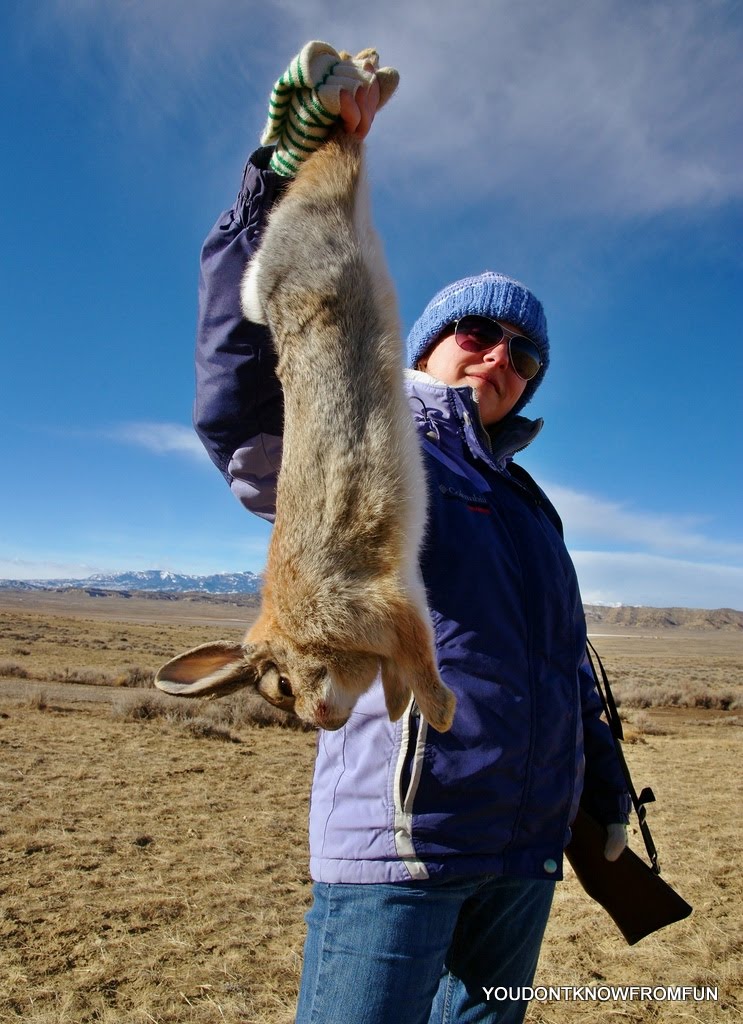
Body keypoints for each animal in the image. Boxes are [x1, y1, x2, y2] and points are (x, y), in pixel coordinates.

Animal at [155, 129, 455, 733]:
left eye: (282, 685)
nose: (324, 720)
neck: (303, 632)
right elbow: (400, 678)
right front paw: (398, 707)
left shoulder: (382, 608)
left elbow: (421, 667)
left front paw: (445, 711)